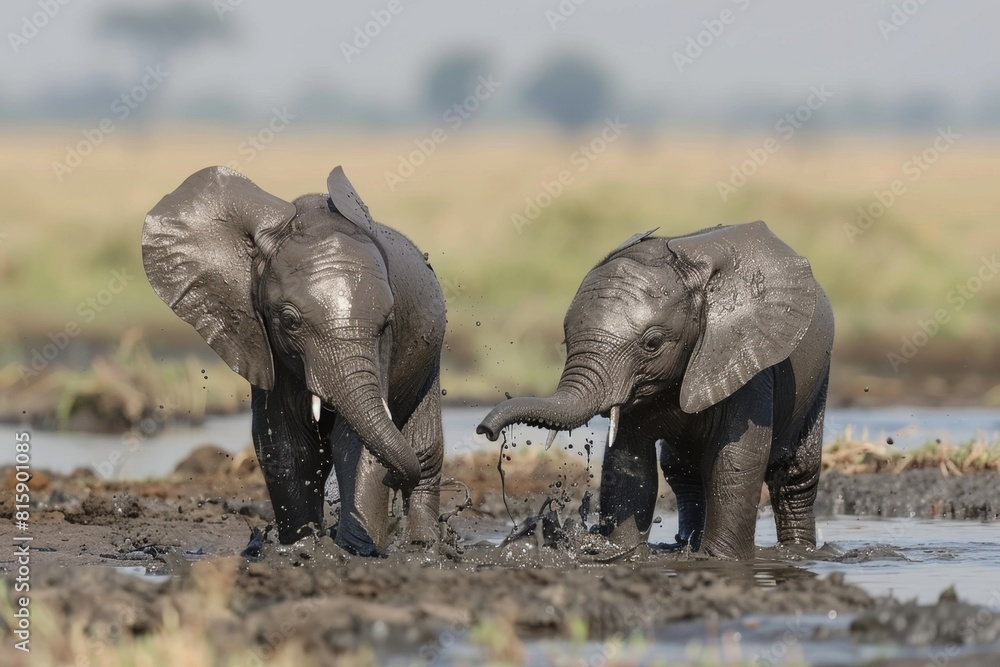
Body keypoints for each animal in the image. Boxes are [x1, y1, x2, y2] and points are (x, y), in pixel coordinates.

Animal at [142, 165, 446, 555]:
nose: (393, 481)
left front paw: (354, 551)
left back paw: (424, 546)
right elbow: (285, 443)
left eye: (386, 323)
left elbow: (355, 445)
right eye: (289, 321)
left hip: (431, 355)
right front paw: (301, 548)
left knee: (424, 449)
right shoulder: (262, 341)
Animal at [477, 222, 833, 560]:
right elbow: (629, 463)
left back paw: (798, 552)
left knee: (794, 475)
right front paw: (620, 553)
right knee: (683, 471)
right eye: (565, 340)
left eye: (653, 343)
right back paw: (685, 544)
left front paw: (719, 560)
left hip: (819, 378)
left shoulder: (749, 361)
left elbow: (735, 461)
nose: (485, 430)